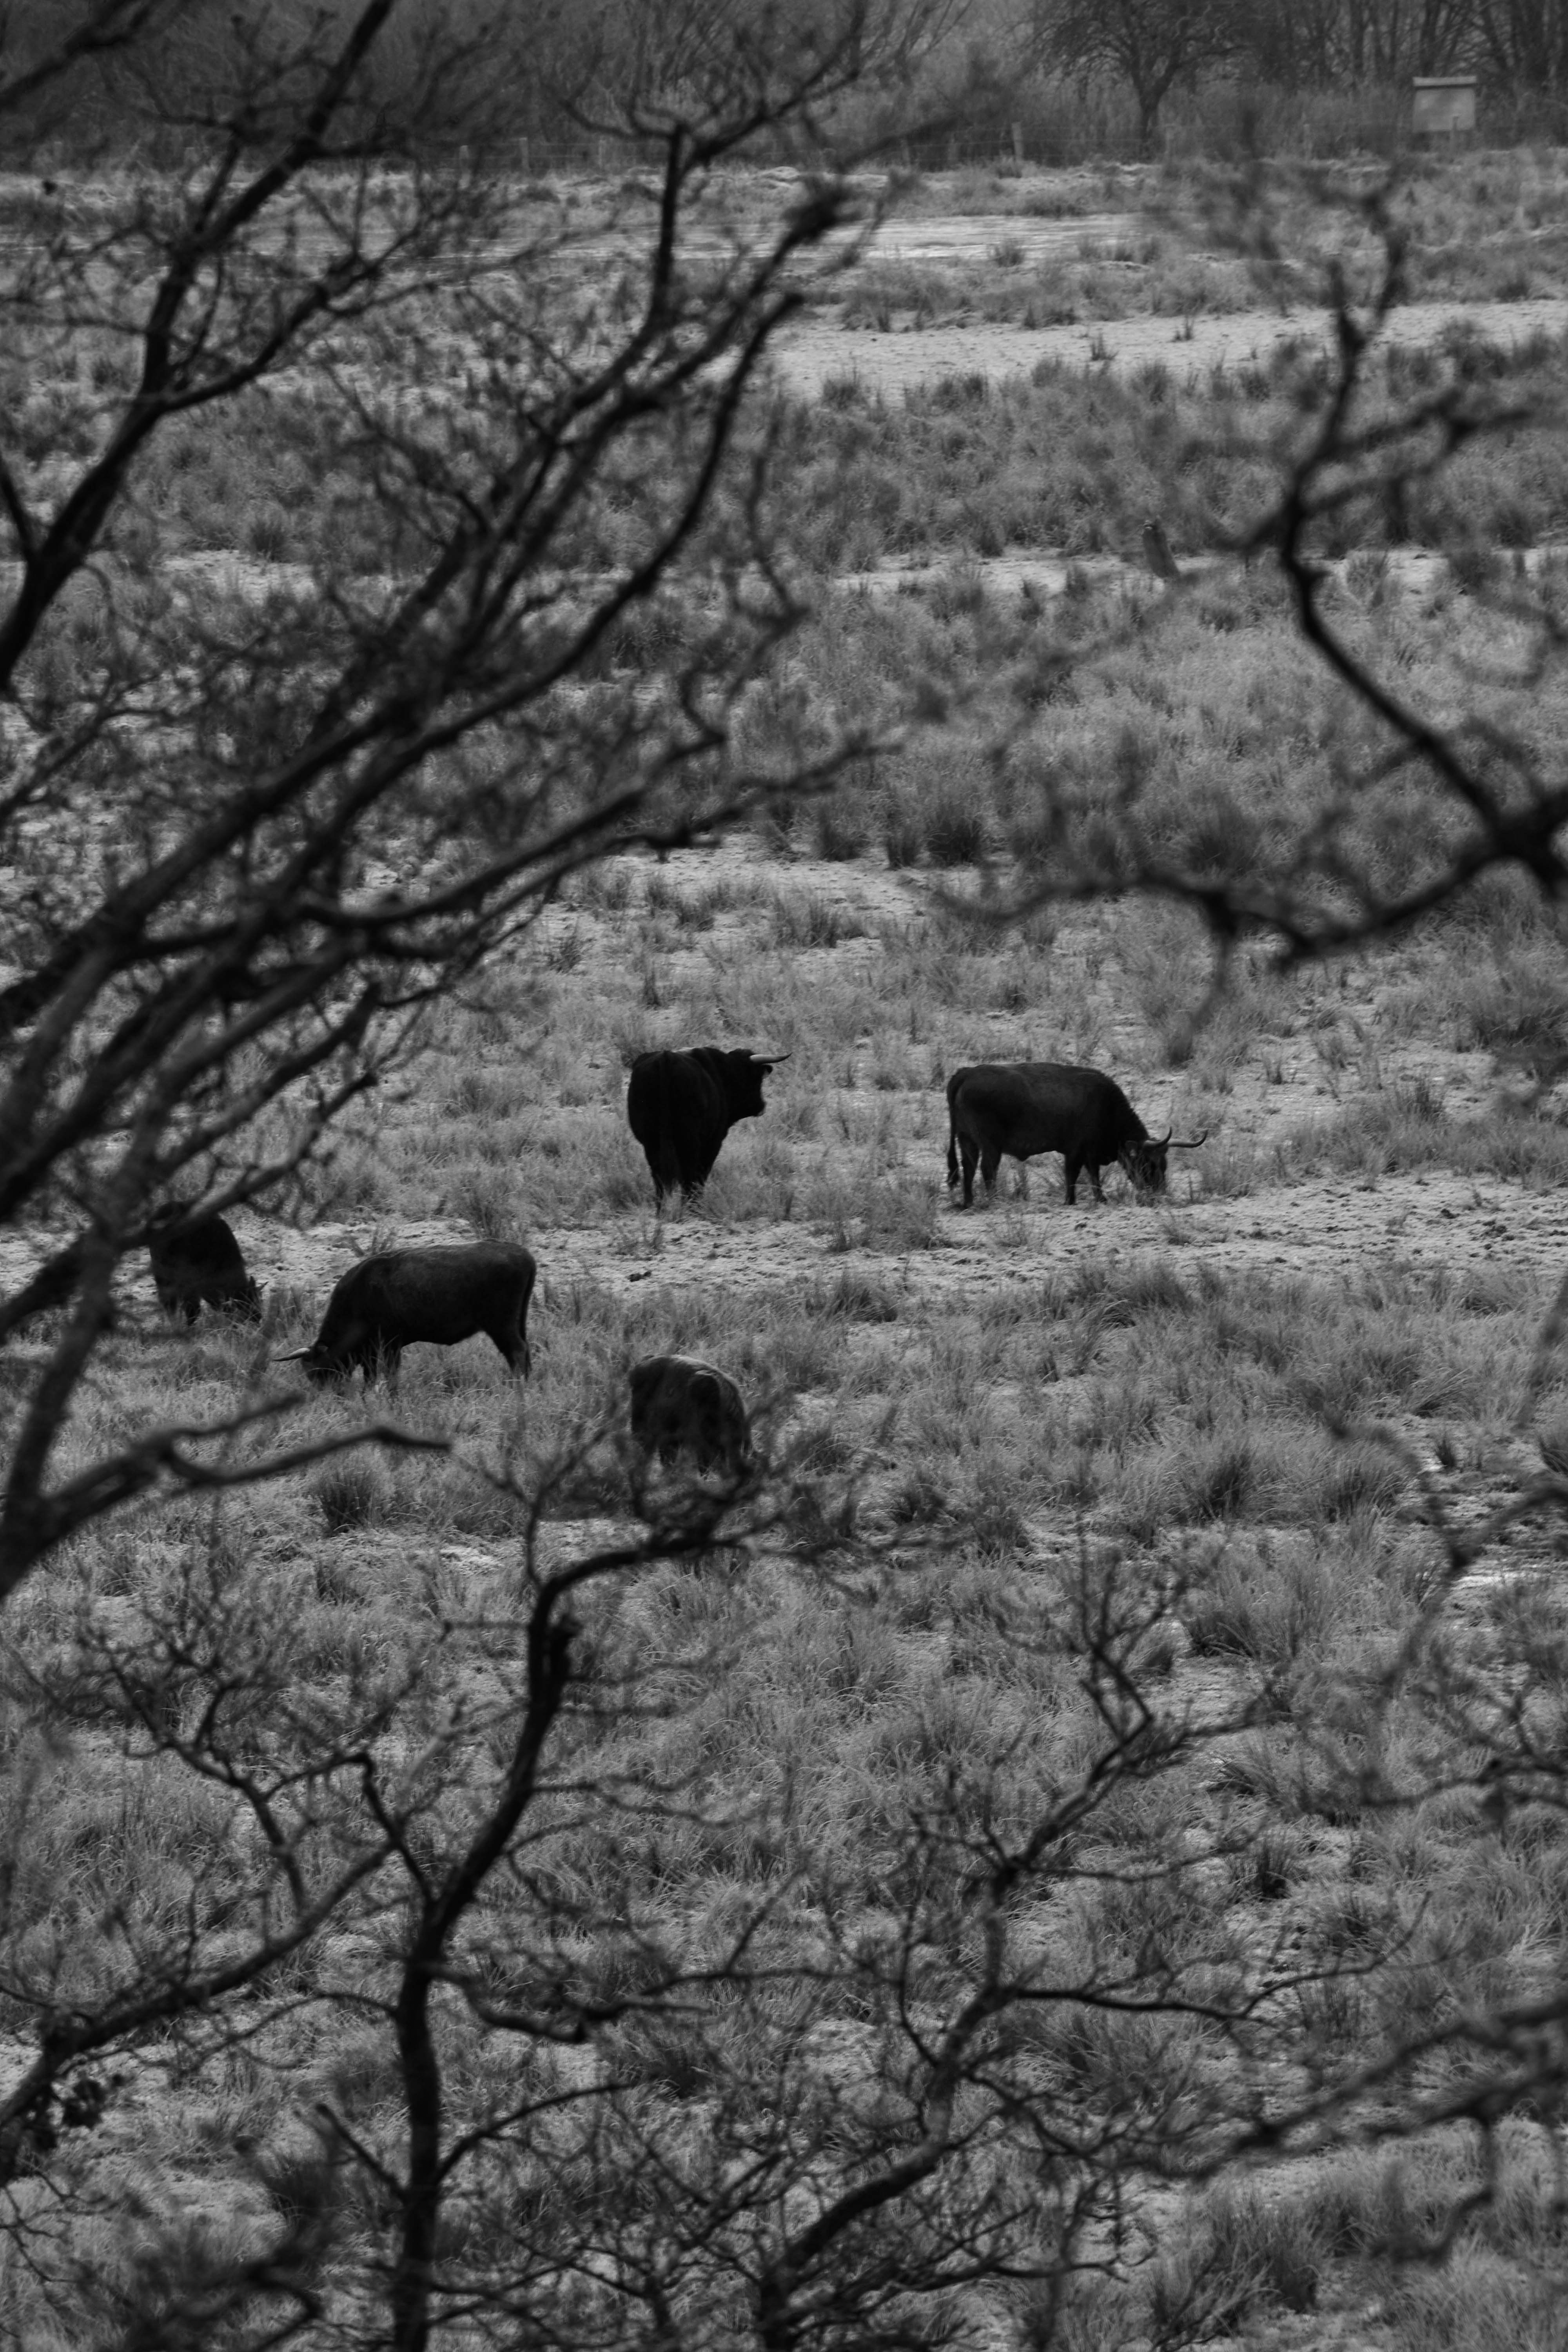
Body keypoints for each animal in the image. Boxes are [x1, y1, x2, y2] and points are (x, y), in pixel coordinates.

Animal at [276, 1242, 535, 1386]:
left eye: (321, 1371)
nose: (329, 1397)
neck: (360, 1295)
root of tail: (524, 1255)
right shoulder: (373, 1353)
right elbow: (371, 1378)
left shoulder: (391, 1346)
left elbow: (391, 1377)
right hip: (516, 1323)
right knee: (524, 1350)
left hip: (500, 1326)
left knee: (516, 1352)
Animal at [626, 1047, 787, 1205]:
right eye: (756, 1079)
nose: (762, 1106)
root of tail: (666, 1058)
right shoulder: (714, 1141)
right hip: (690, 1141)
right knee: (690, 1176)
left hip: (652, 1143)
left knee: (660, 1180)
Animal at [945, 1063, 1205, 1209]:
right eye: (1148, 1163)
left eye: (1165, 1164)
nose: (1159, 1193)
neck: (1106, 1106)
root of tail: (967, 1073)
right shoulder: (1078, 1151)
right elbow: (1079, 1174)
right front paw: (1079, 1200)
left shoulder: (1084, 1153)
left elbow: (1085, 1175)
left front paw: (1090, 1199)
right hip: (990, 1146)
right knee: (987, 1170)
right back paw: (994, 1200)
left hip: (967, 1141)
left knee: (968, 1168)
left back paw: (968, 1202)